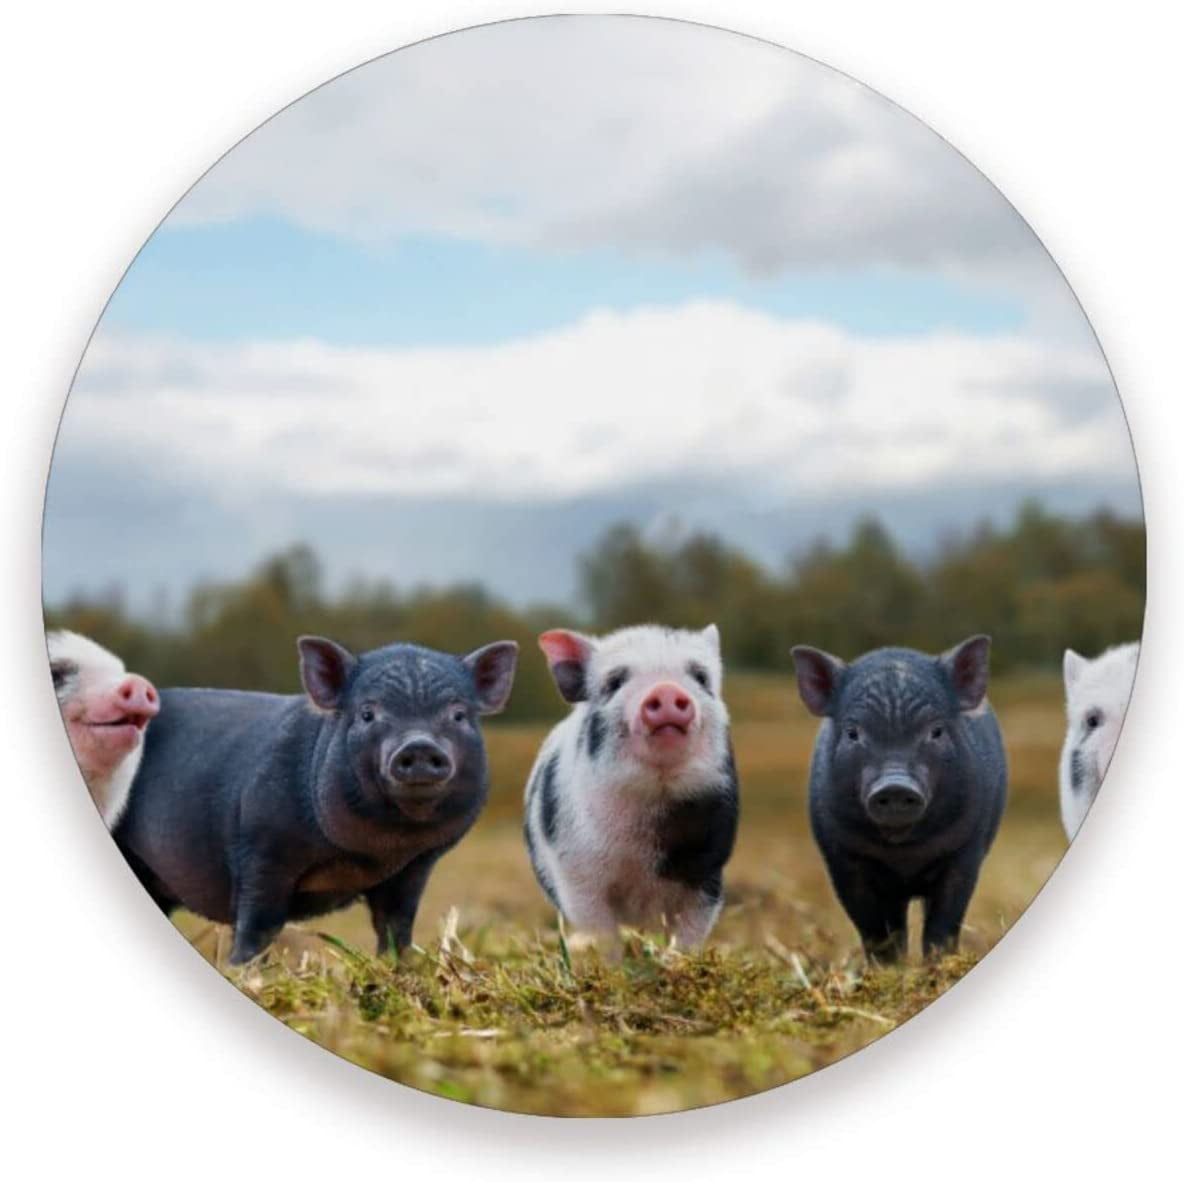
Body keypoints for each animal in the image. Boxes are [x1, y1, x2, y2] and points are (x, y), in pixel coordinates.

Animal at [116, 635, 518, 964]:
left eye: (459, 714)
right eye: (367, 713)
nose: (418, 745)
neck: (379, 850)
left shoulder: (414, 868)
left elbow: (395, 927)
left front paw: (398, 971)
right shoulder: (262, 847)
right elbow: (258, 925)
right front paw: (247, 974)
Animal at [524, 624, 738, 949]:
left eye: (700, 677)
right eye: (615, 682)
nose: (666, 689)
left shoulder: (708, 872)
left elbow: (689, 935)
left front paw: (676, 960)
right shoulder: (577, 874)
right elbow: (604, 935)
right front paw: (612, 961)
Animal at [792, 636, 1007, 962]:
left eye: (936, 731)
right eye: (853, 733)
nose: (895, 786)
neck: (904, 856)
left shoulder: (967, 852)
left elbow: (943, 926)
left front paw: (939, 966)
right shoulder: (842, 860)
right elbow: (873, 931)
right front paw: (888, 970)